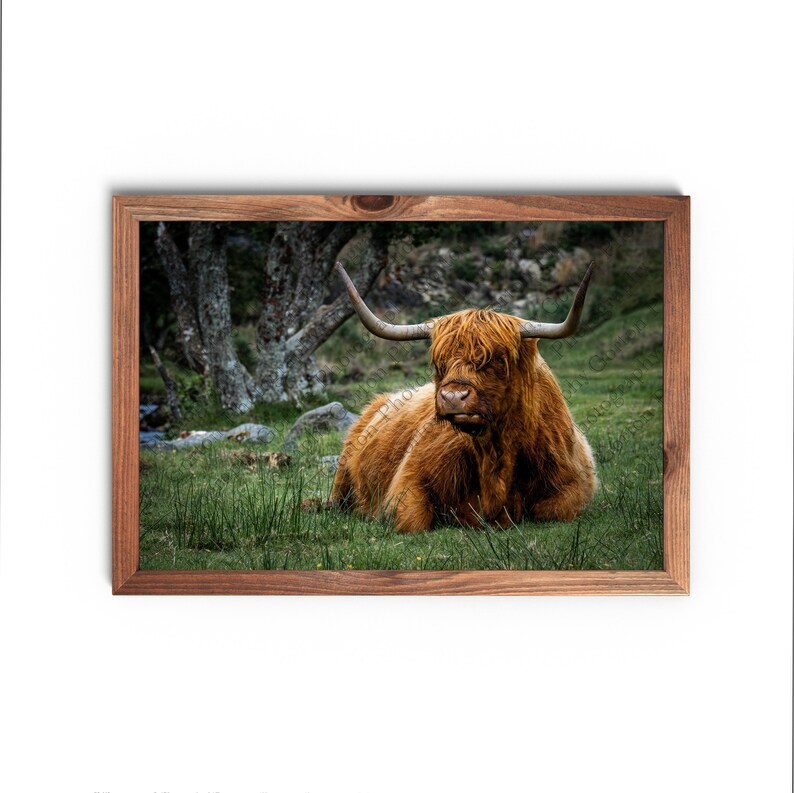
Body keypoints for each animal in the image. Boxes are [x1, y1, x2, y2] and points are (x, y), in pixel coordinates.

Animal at [331, 261, 598, 534]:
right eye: (440, 363)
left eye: (495, 360)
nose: (452, 396)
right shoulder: (407, 482)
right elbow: (411, 519)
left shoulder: (573, 486)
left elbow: (554, 510)